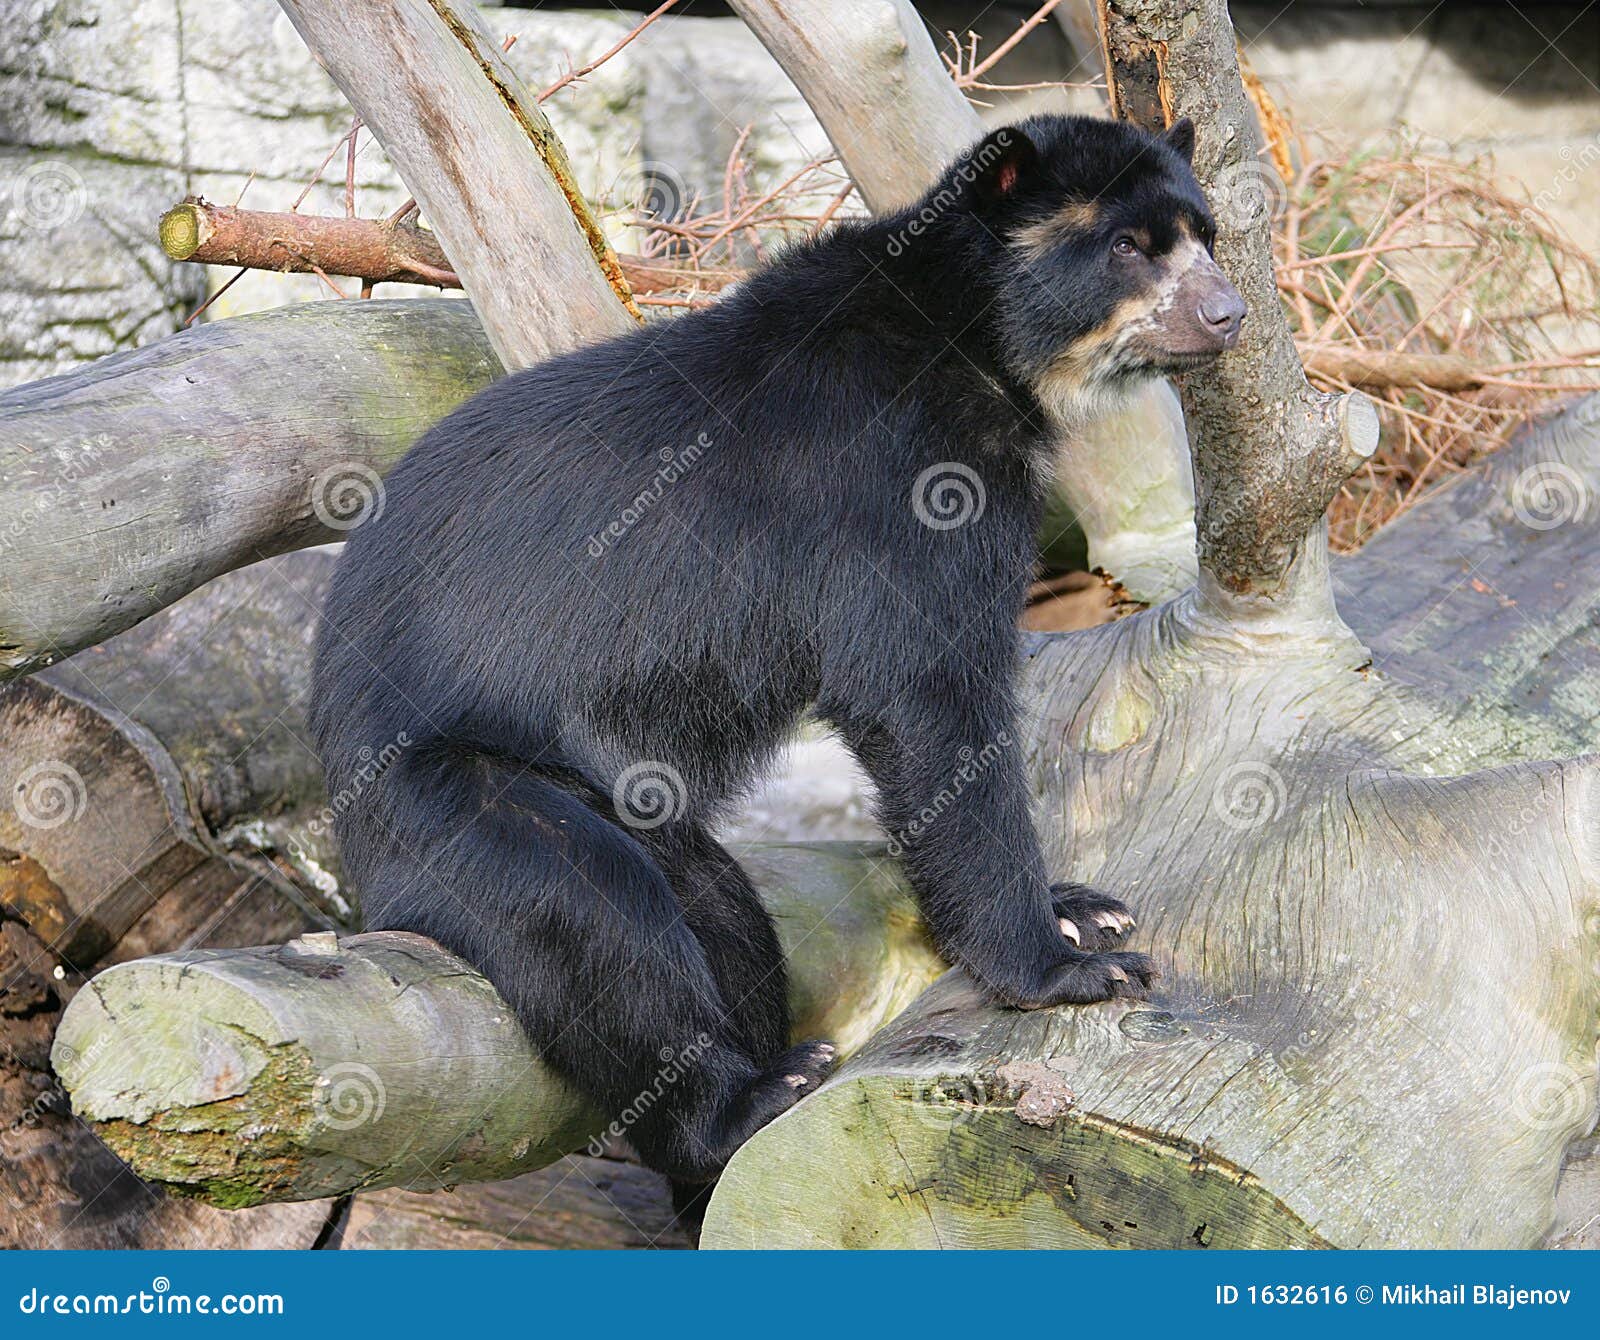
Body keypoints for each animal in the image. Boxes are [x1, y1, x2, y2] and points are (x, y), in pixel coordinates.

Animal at [307, 113, 1244, 1206]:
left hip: (634, 812)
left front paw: (1083, 909)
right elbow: (923, 697)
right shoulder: (897, 483)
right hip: (451, 794)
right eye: (1130, 247)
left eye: (1204, 235)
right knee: (591, 917)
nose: (1227, 315)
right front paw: (1065, 965)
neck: (974, 339)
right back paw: (751, 1097)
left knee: (725, 920)